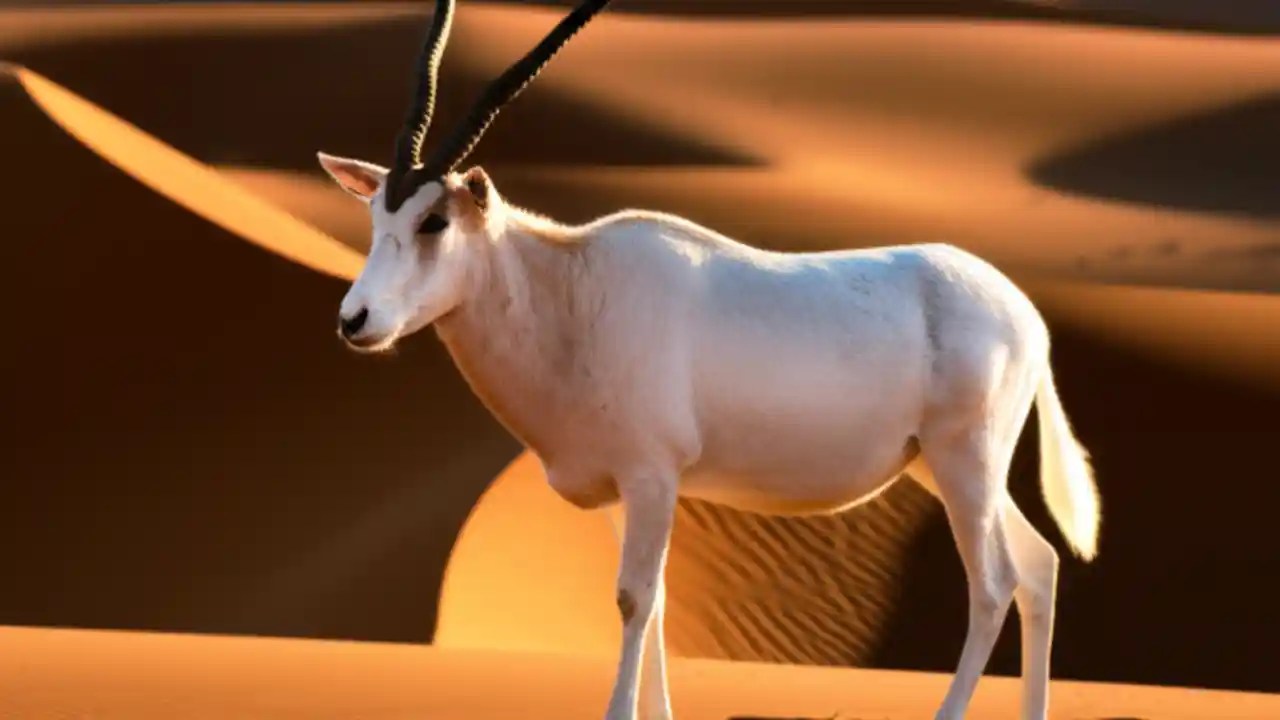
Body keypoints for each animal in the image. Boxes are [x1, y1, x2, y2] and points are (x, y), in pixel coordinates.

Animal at [316, 1, 1101, 718]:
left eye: (434, 221)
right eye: (377, 216)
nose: (356, 320)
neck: (570, 291)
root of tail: (1025, 313)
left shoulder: (653, 476)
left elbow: (633, 600)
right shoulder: (624, 489)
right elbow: (659, 600)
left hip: (964, 460)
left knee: (994, 584)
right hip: (943, 466)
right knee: (1039, 565)